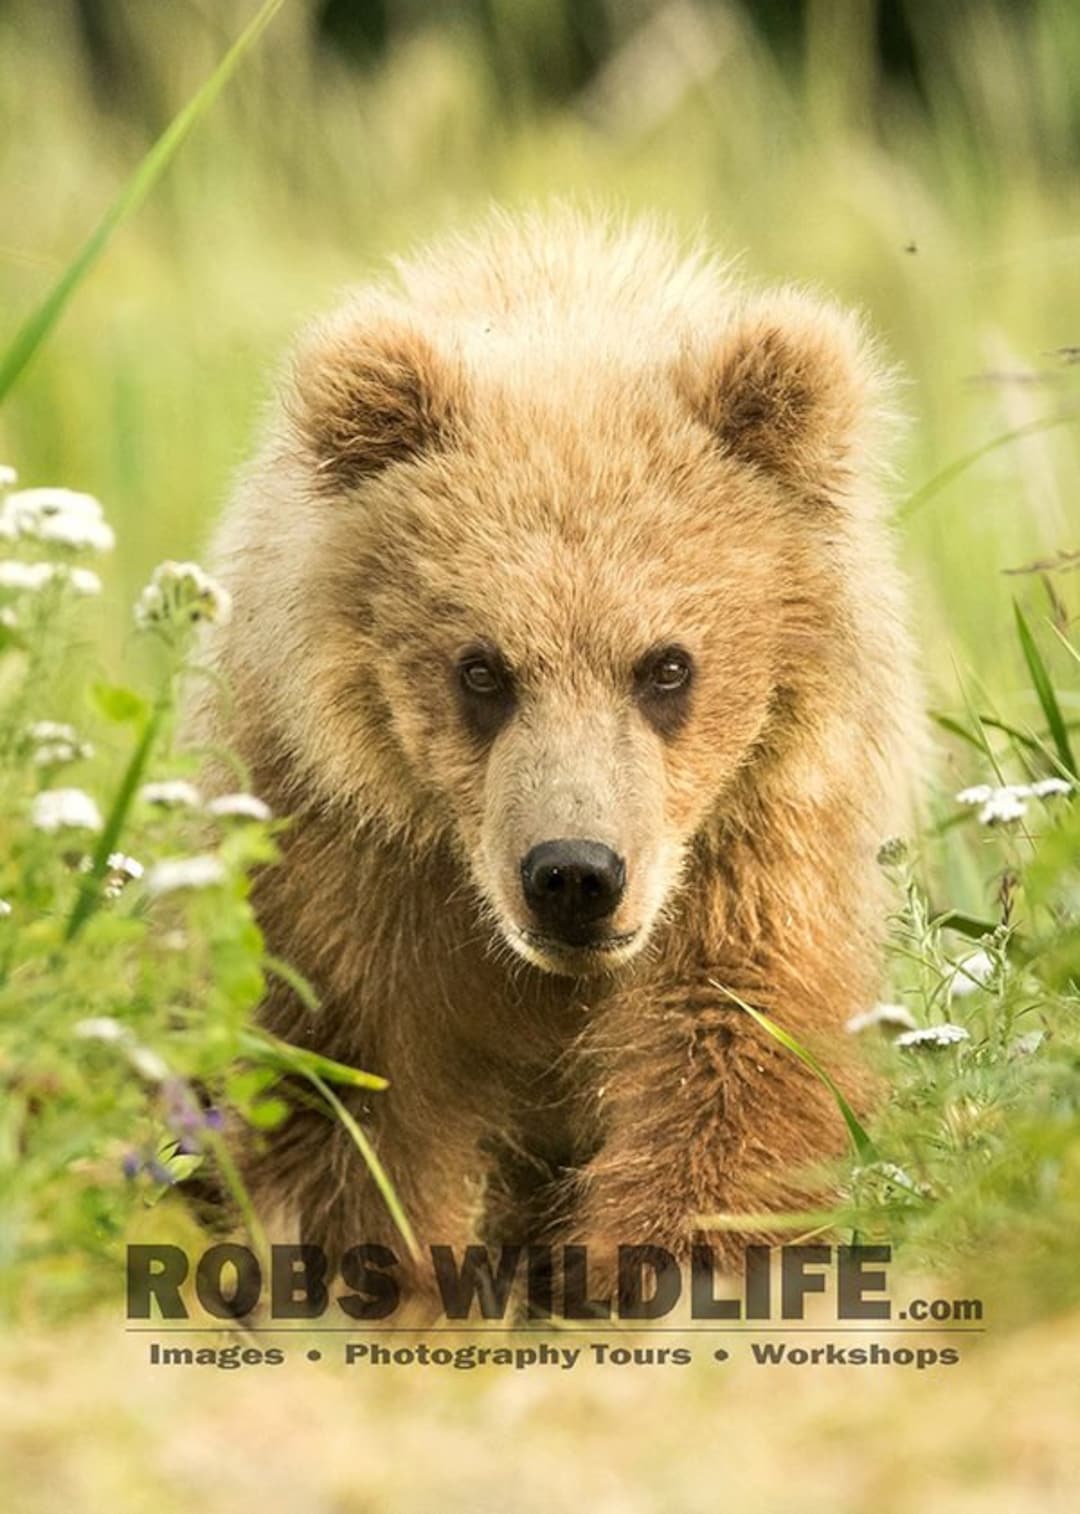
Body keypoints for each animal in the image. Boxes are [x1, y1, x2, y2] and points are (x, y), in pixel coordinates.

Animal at [201, 209, 921, 1314]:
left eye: (667, 664)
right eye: (481, 668)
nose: (574, 874)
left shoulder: (748, 843)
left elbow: (733, 1045)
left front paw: (658, 1259)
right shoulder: (349, 865)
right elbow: (353, 1085)